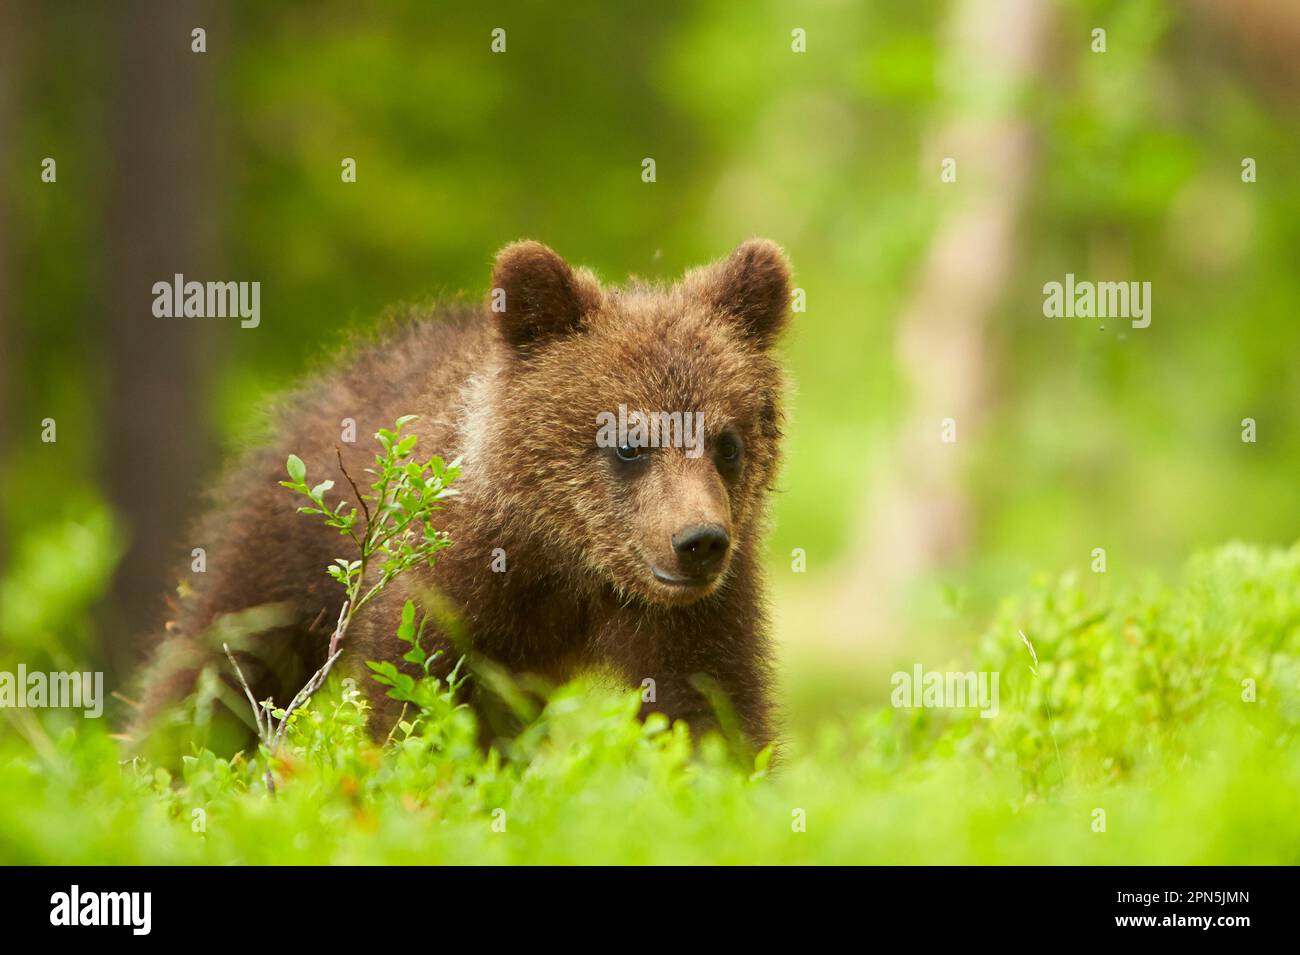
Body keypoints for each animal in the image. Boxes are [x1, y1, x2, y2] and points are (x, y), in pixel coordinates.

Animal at [131, 238, 795, 760]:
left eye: (728, 443)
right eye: (630, 442)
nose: (699, 542)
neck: (570, 562)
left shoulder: (695, 612)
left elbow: (706, 704)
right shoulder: (455, 576)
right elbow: (417, 689)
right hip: (290, 533)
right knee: (224, 649)